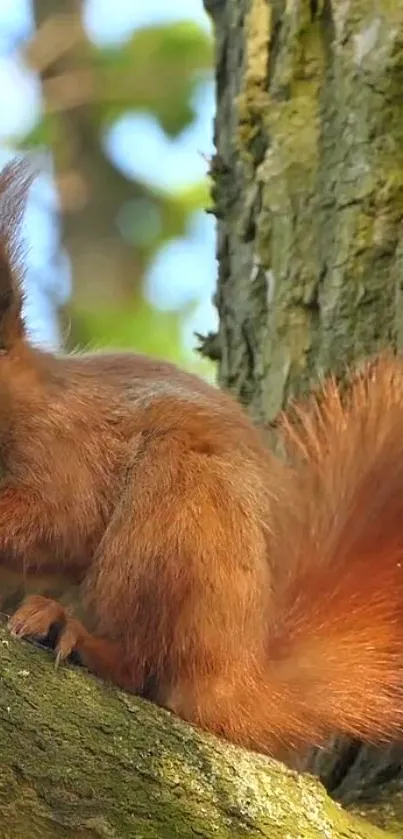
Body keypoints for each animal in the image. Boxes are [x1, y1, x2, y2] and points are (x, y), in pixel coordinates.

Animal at [1, 158, 403, 762]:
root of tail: (238, 676)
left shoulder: (63, 445)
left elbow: (59, 520)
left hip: (175, 521)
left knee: (140, 665)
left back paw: (74, 634)